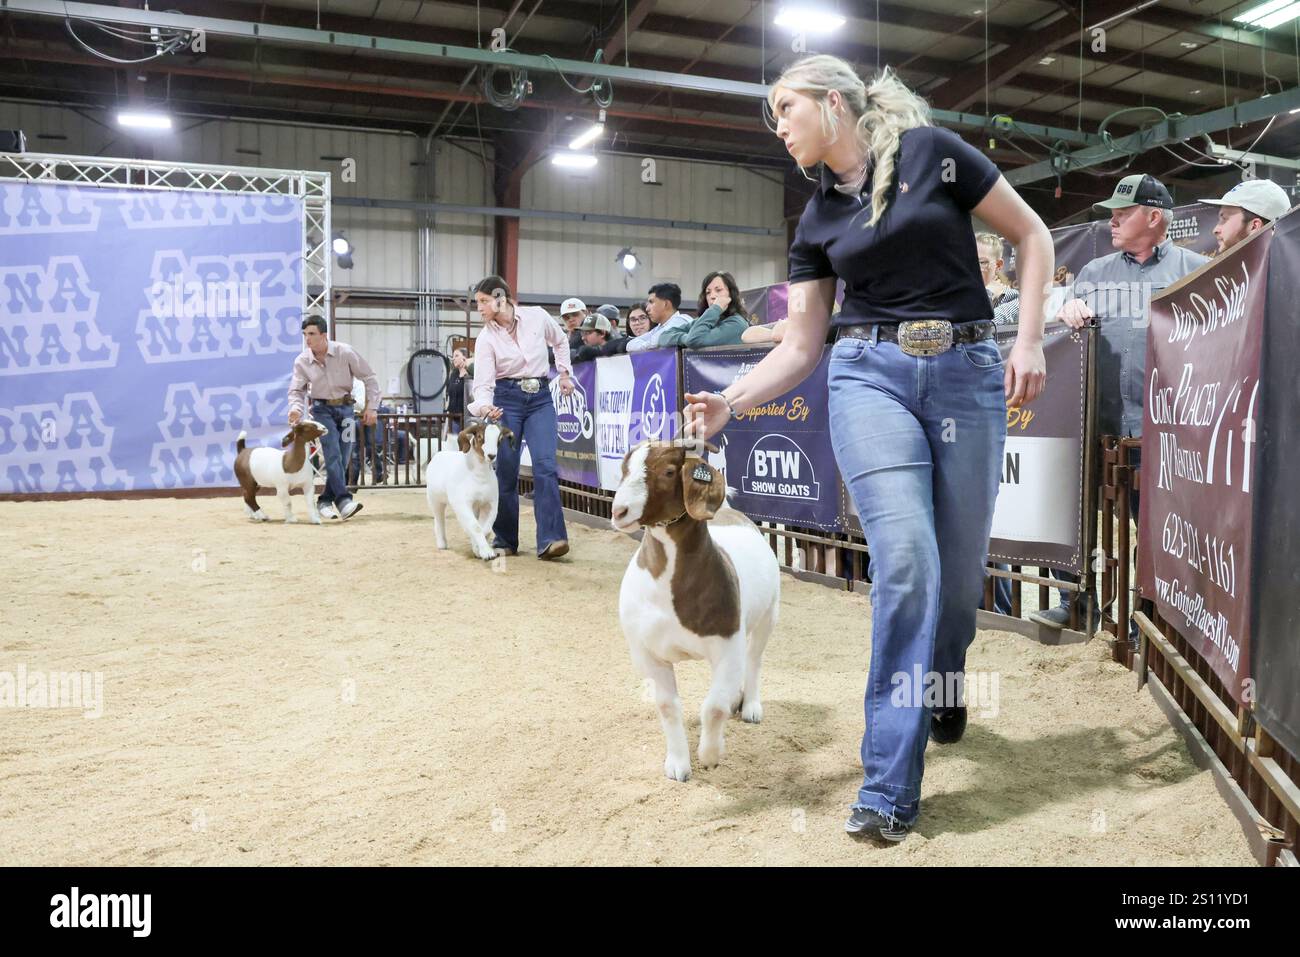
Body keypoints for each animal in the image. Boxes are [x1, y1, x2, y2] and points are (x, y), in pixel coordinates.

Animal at [426, 420, 516, 560]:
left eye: (500, 439)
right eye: (479, 436)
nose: (491, 456)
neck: (479, 477)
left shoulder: (490, 504)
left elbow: (485, 528)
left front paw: (479, 549)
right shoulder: (462, 504)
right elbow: (475, 527)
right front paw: (486, 552)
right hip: (434, 499)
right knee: (439, 518)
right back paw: (442, 544)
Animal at [611, 439, 780, 781]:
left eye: (668, 471)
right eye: (624, 468)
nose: (618, 511)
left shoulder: (727, 646)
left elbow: (713, 707)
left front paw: (710, 755)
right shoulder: (650, 654)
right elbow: (668, 706)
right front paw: (678, 765)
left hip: (768, 614)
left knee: (754, 659)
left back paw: (751, 706)